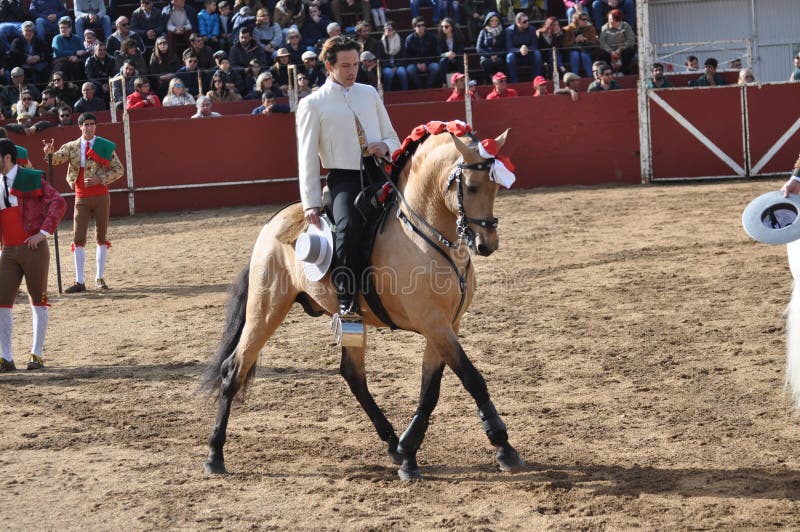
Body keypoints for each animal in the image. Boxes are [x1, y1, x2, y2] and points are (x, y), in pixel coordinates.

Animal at [199, 127, 525, 480]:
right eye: (473, 186)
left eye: (497, 187)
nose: (486, 244)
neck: (426, 234)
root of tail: (271, 225)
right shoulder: (434, 323)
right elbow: (471, 378)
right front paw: (503, 446)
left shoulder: (446, 324)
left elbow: (430, 389)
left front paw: (409, 452)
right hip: (266, 309)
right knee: (234, 368)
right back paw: (215, 455)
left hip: (349, 320)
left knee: (353, 374)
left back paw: (392, 443)